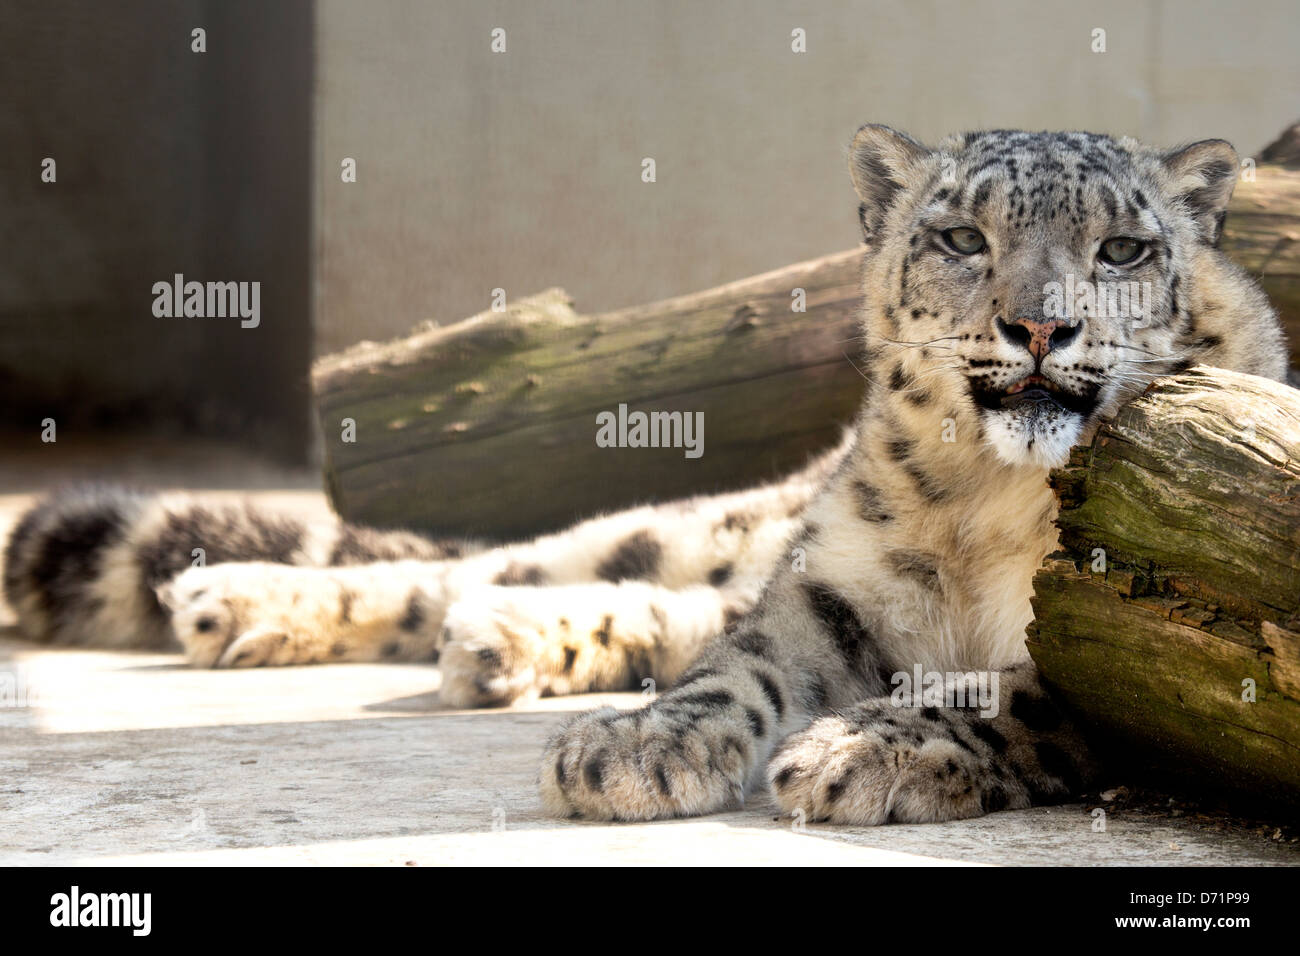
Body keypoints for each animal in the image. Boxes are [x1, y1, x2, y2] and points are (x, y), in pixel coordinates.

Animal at [3, 125, 1287, 826]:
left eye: (1122, 248)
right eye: (961, 238)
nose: (1038, 327)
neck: (981, 507)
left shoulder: (1121, 638)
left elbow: (1001, 695)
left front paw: (860, 750)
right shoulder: (826, 583)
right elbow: (744, 661)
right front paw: (638, 750)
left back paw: (496, 643)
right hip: (727, 525)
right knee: (533, 565)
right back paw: (242, 602)